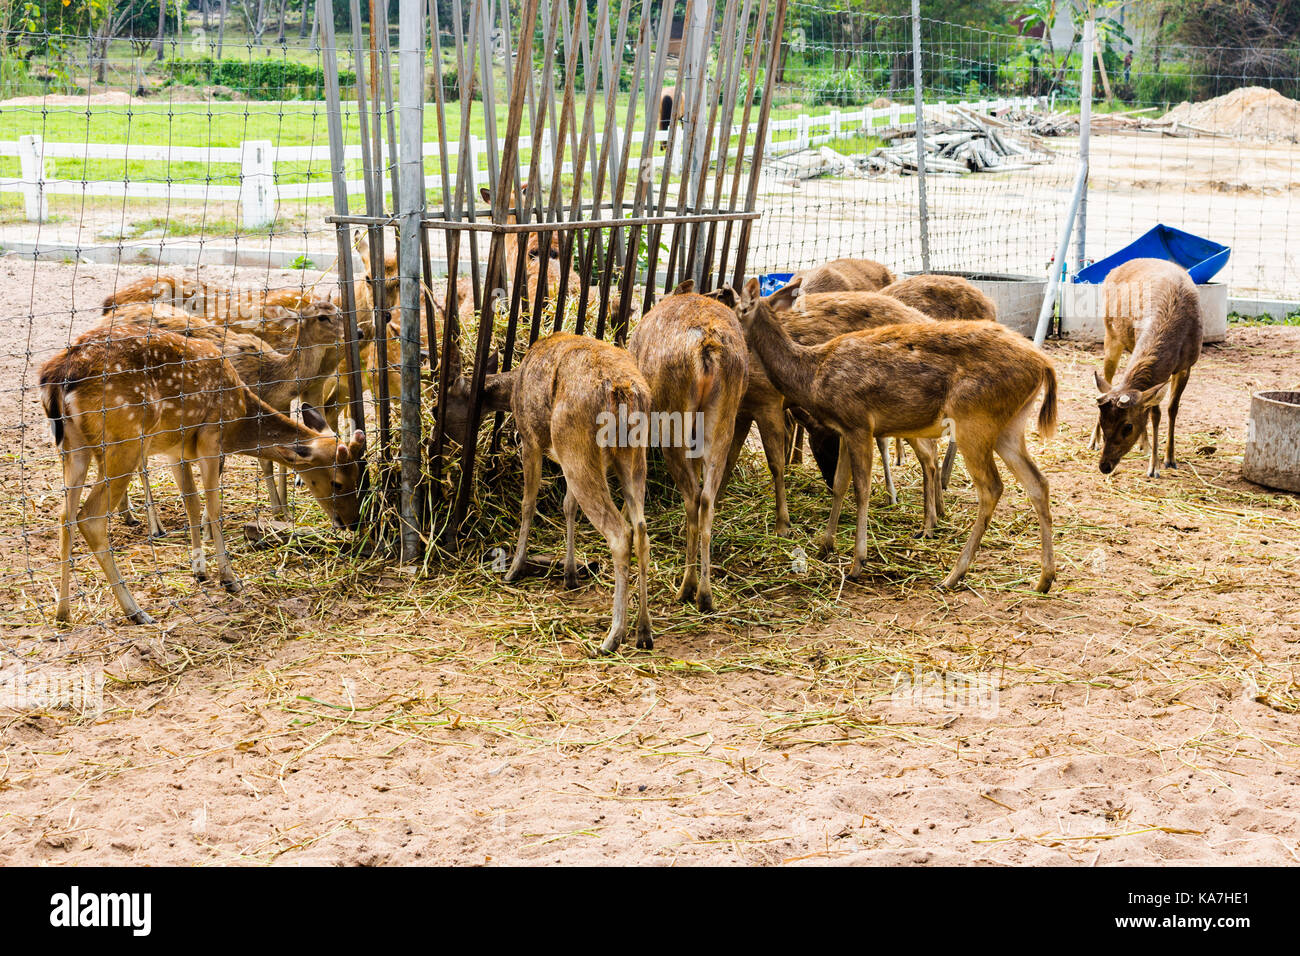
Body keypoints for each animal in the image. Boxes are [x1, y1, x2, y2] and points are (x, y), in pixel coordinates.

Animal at [40, 322, 366, 626]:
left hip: (74, 448)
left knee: (65, 515)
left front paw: (199, 569)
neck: (238, 417)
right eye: (337, 483)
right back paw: (136, 611)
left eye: (359, 476)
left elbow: (192, 503)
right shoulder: (211, 439)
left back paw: (63, 612)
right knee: (90, 517)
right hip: (124, 441)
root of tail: (56, 380)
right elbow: (213, 506)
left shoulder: (177, 449)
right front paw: (229, 578)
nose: (352, 522)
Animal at [443, 332, 653, 654]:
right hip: (631, 455)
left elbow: (528, 503)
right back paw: (644, 632)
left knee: (620, 533)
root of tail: (622, 392)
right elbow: (568, 506)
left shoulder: (529, 438)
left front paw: (514, 569)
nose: (438, 441)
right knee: (641, 530)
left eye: (439, 407)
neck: (513, 389)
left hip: (576, 445)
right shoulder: (564, 460)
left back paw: (613, 636)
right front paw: (569, 574)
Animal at [629, 279, 747, 612]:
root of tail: (706, 345)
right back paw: (705, 594)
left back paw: (687, 587)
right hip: (723, 417)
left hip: (672, 419)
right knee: (707, 497)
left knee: (693, 496)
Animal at [736, 277, 1058, 593]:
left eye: (736, 309)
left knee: (991, 487)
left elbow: (862, 489)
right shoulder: (844, 428)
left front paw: (857, 562)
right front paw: (824, 546)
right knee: (1038, 483)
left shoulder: (858, 422)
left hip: (974, 419)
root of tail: (1044, 365)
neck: (813, 376)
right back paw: (1044, 579)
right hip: (1010, 426)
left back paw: (953, 575)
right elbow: (839, 485)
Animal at [1091, 258, 1202, 478]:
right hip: (1110, 334)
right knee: (1107, 379)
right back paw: (1094, 442)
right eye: (1102, 420)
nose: (1104, 466)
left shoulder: (1186, 366)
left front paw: (1169, 459)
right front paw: (1154, 466)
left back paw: (1145, 445)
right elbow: (1154, 413)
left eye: (1128, 427)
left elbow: (1171, 409)